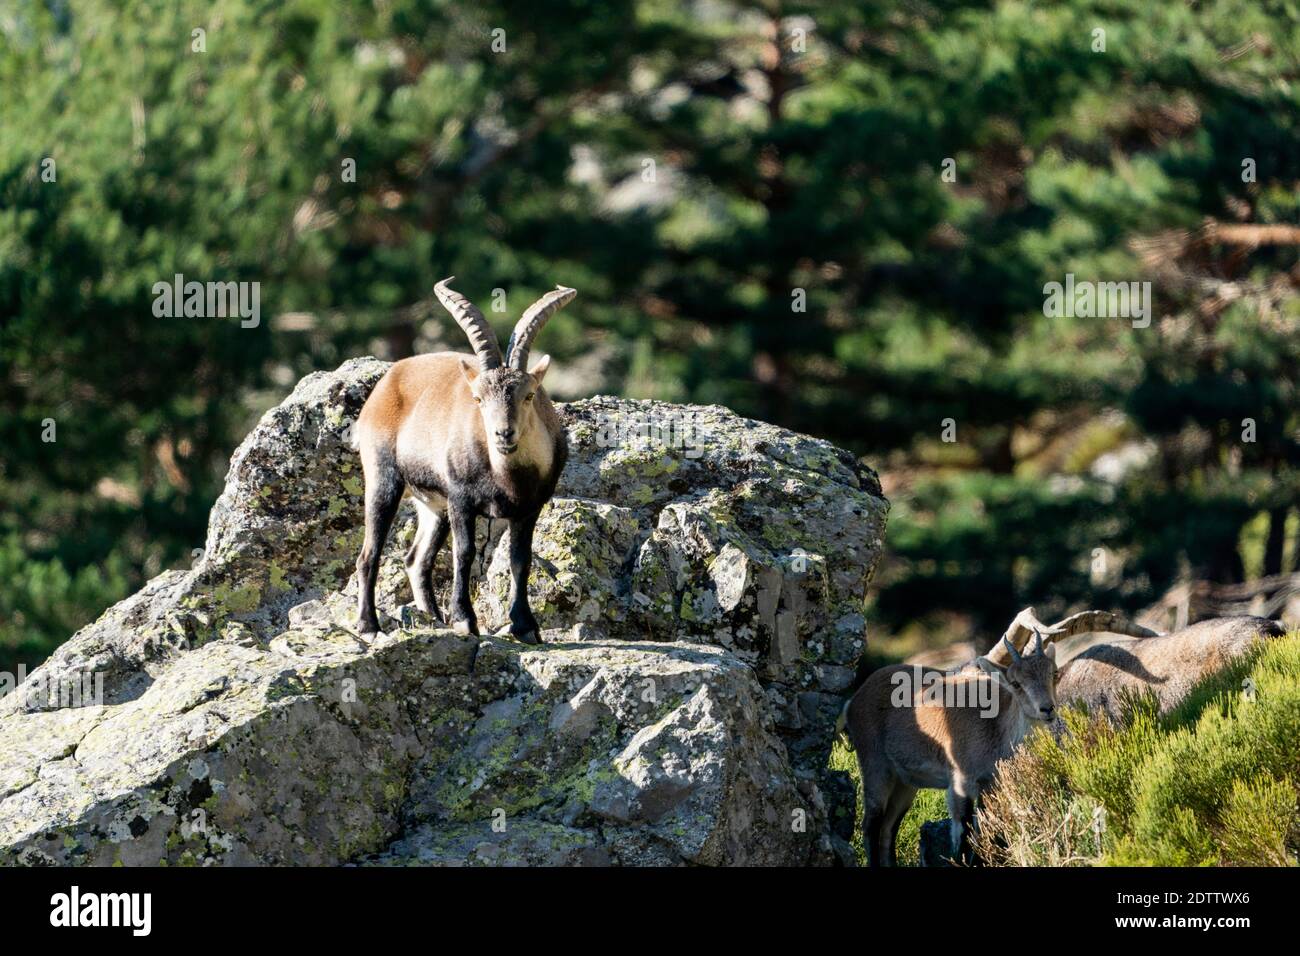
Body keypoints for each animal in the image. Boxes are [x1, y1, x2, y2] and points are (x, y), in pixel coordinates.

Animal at [351, 277, 574, 643]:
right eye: (477, 398)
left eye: (529, 395)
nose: (503, 434)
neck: (506, 478)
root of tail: (388, 379)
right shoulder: (460, 499)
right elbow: (465, 553)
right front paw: (464, 620)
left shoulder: (529, 508)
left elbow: (520, 560)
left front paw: (525, 625)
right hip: (383, 479)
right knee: (369, 554)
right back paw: (369, 626)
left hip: (433, 506)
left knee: (416, 559)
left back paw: (433, 618)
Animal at [838, 607, 1159, 865]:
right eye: (1015, 683)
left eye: (1054, 674)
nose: (1047, 709)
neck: (995, 731)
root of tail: (854, 701)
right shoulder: (960, 782)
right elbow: (964, 836)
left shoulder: (991, 785)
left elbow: (991, 835)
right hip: (876, 765)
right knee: (871, 825)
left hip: (905, 783)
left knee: (887, 830)